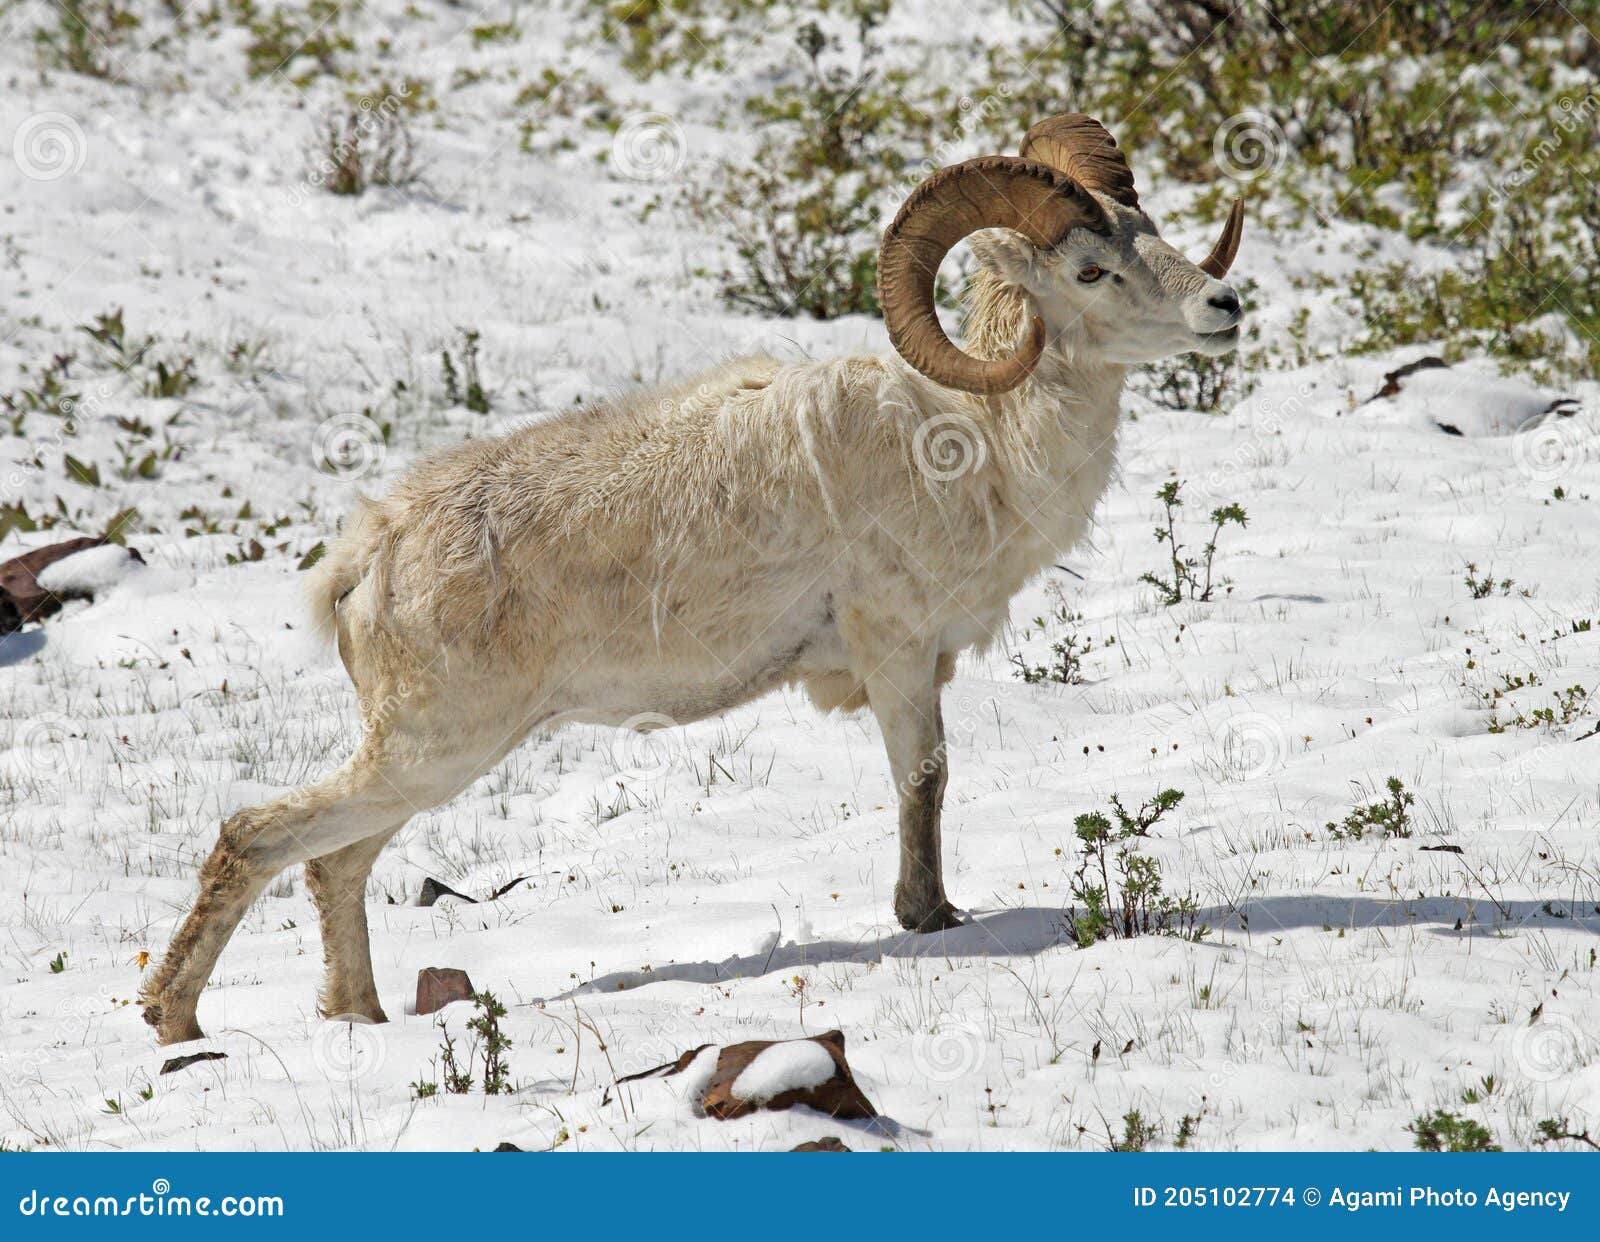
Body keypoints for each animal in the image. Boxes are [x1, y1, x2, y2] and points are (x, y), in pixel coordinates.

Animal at [141, 113, 1244, 1044]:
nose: (1223, 306)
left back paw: (357, 1020)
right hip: (429, 751)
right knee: (260, 839)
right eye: (1094, 270)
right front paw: (930, 919)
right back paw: (175, 1022)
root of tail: (371, 553)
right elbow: (924, 780)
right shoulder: (895, 650)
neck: (975, 441)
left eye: (1148, 231)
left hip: (424, 763)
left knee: (334, 865)